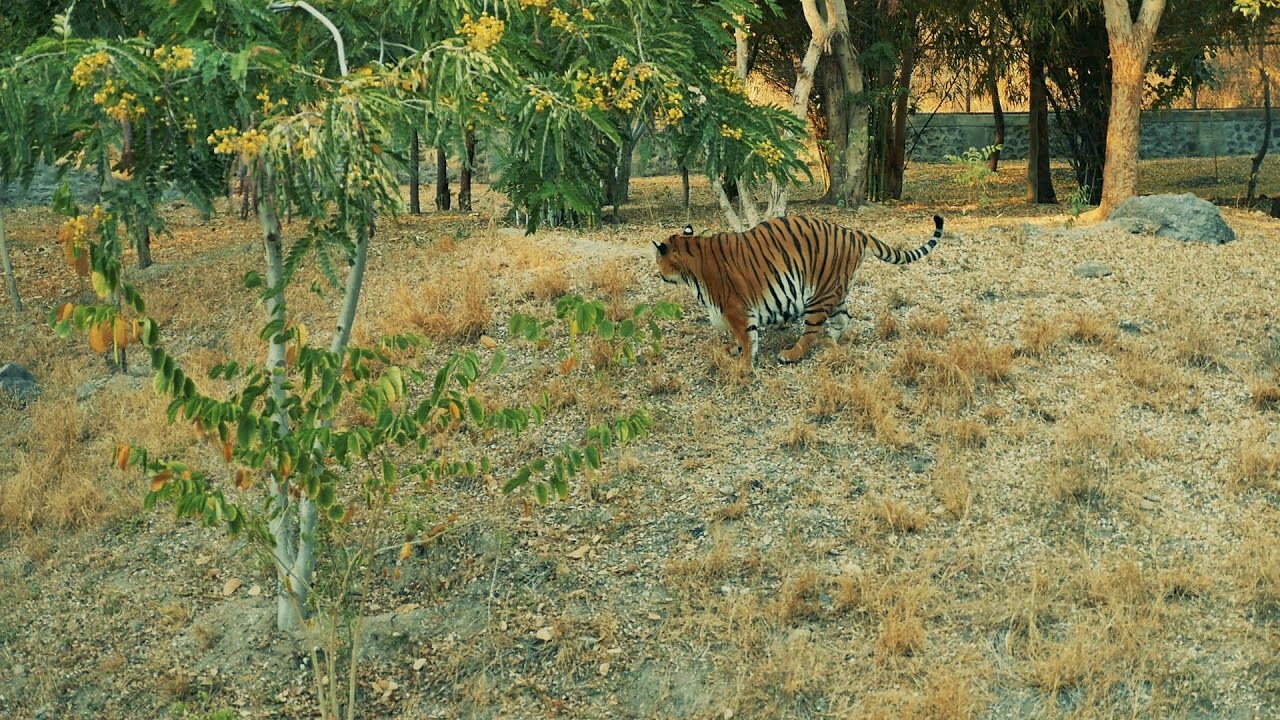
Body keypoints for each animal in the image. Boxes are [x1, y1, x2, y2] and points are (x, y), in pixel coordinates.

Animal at [653, 214, 943, 367]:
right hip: (836, 289)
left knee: (812, 331)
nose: (659, 274)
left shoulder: (736, 309)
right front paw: (732, 350)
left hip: (818, 294)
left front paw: (746, 365)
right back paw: (830, 344)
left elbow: (747, 338)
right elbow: (738, 337)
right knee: (842, 320)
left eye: (658, 260)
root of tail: (854, 232)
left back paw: (791, 354)